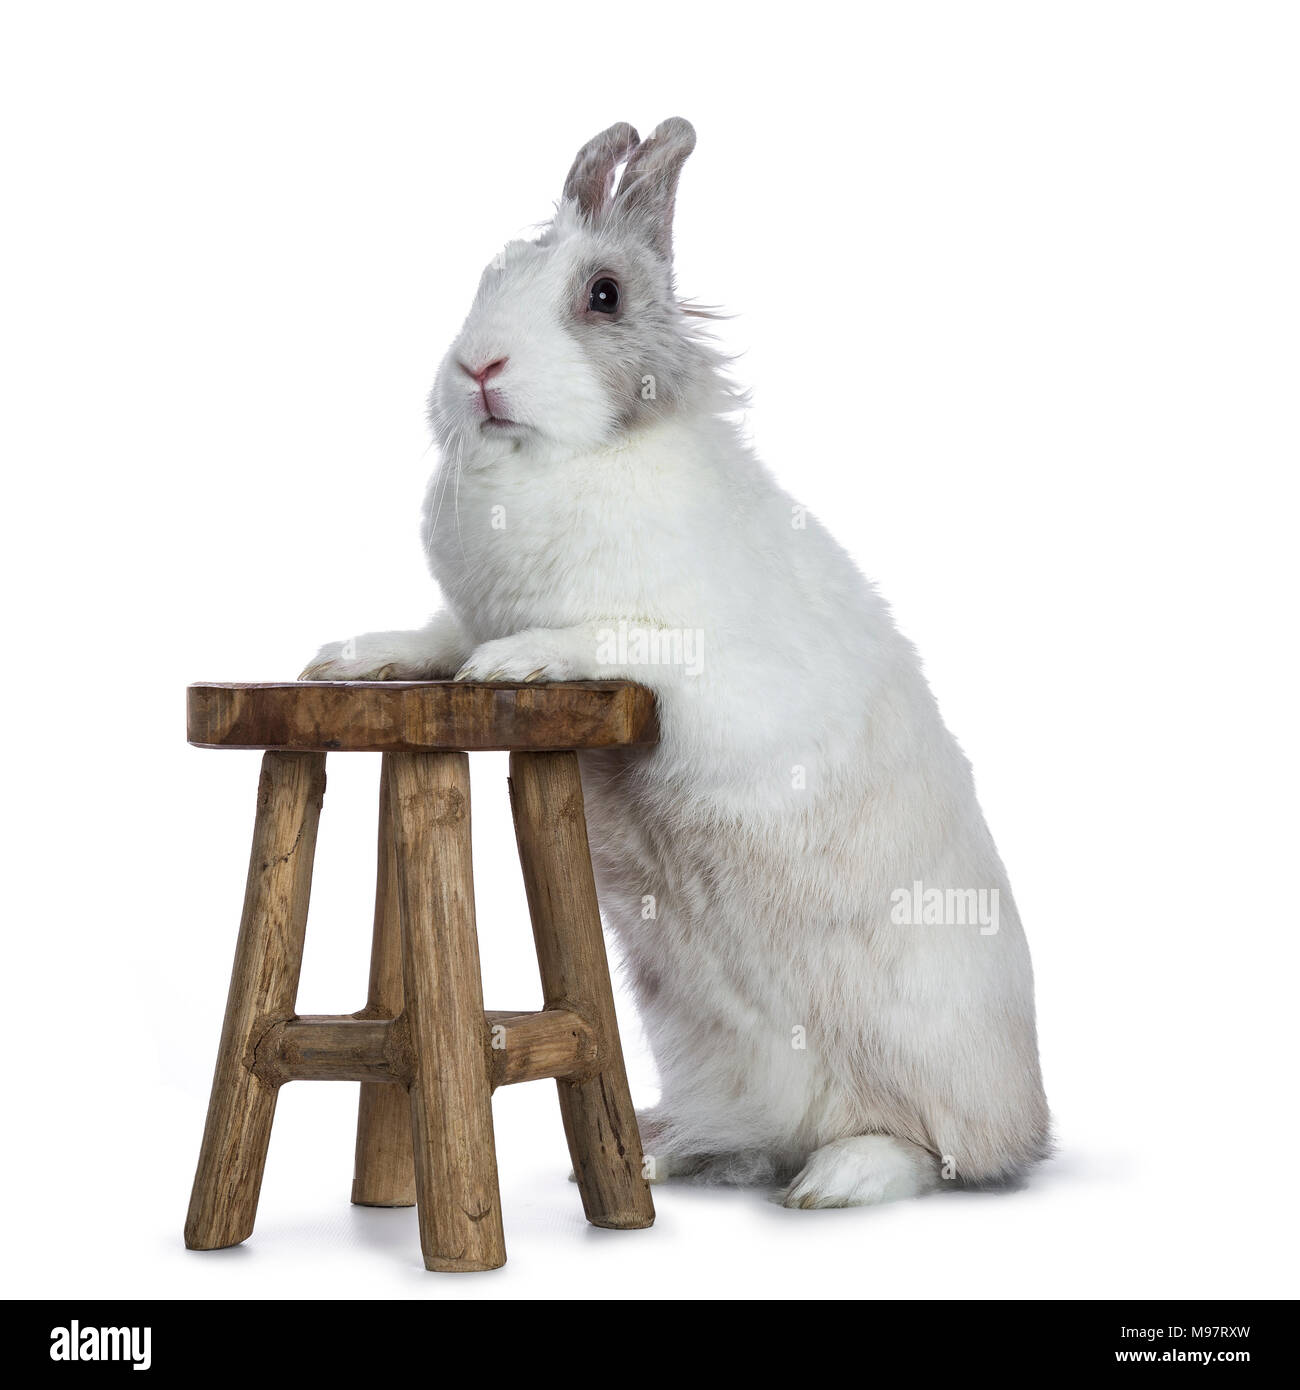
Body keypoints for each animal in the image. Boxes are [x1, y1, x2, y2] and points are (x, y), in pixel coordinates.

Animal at [302, 118, 1050, 1208]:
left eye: (603, 295)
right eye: (491, 277)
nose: (477, 366)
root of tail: (1031, 1120)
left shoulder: (704, 666)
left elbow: (605, 637)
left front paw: (516, 659)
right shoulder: (457, 610)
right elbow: (435, 638)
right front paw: (351, 658)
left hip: (920, 1058)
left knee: (930, 1149)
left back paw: (837, 1178)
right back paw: (667, 1152)